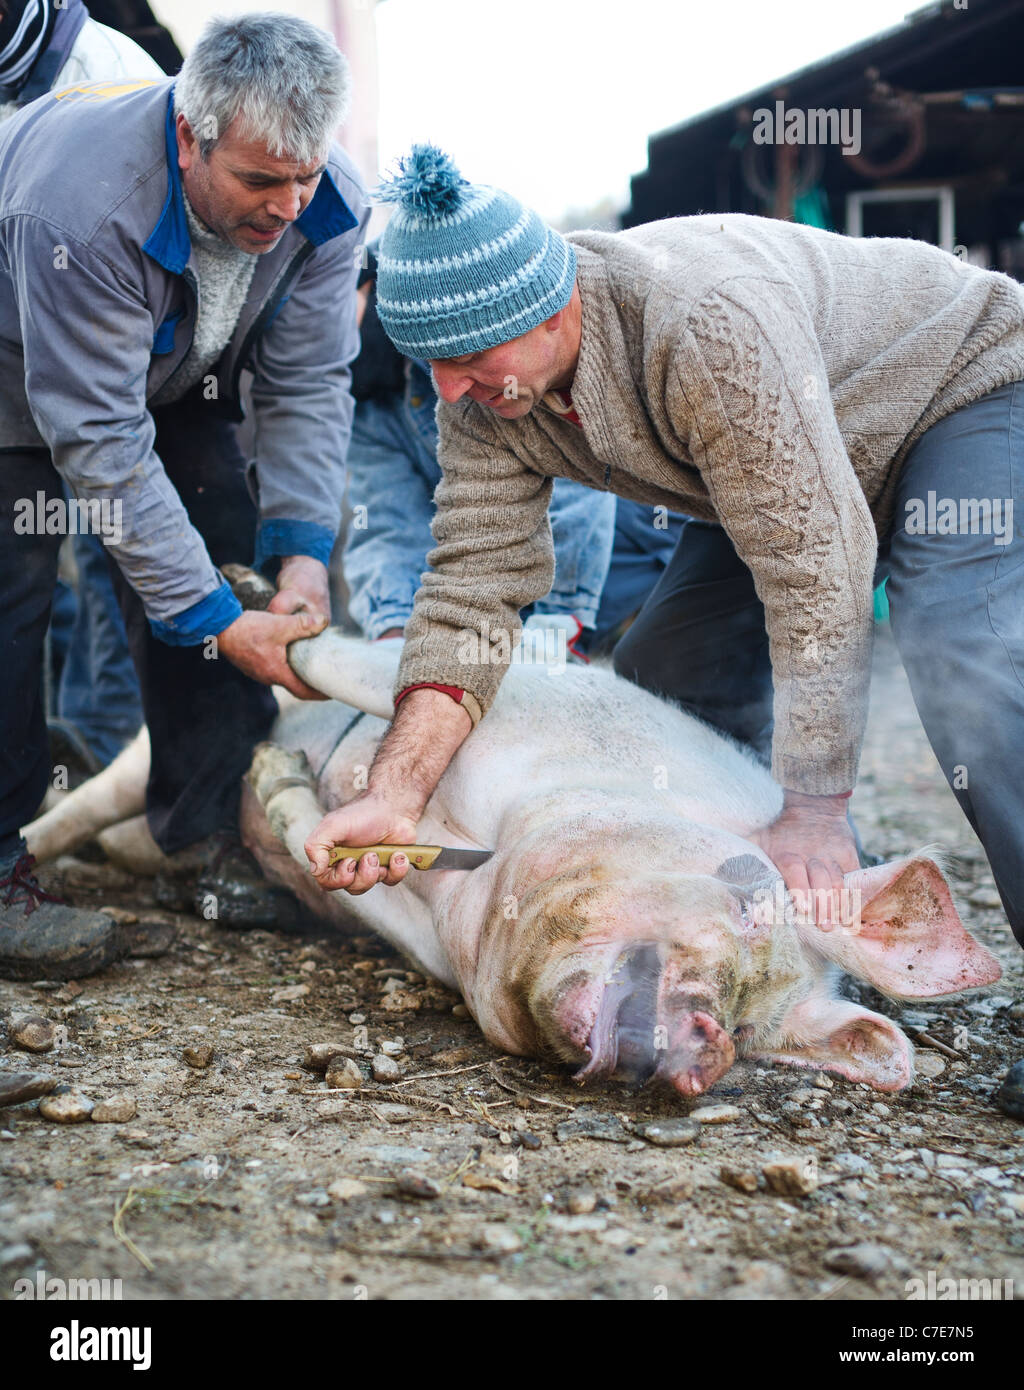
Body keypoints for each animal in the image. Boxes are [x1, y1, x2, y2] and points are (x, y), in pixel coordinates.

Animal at [28, 619, 1000, 1098]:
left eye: (758, 1032)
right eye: (749, 901)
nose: (710, 1042)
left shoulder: (418, 926)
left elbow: (331, 857)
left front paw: (292, 792)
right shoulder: (525, 695)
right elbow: (357, 671)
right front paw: (284, 745)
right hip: (143, 759)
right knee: (92, 797)